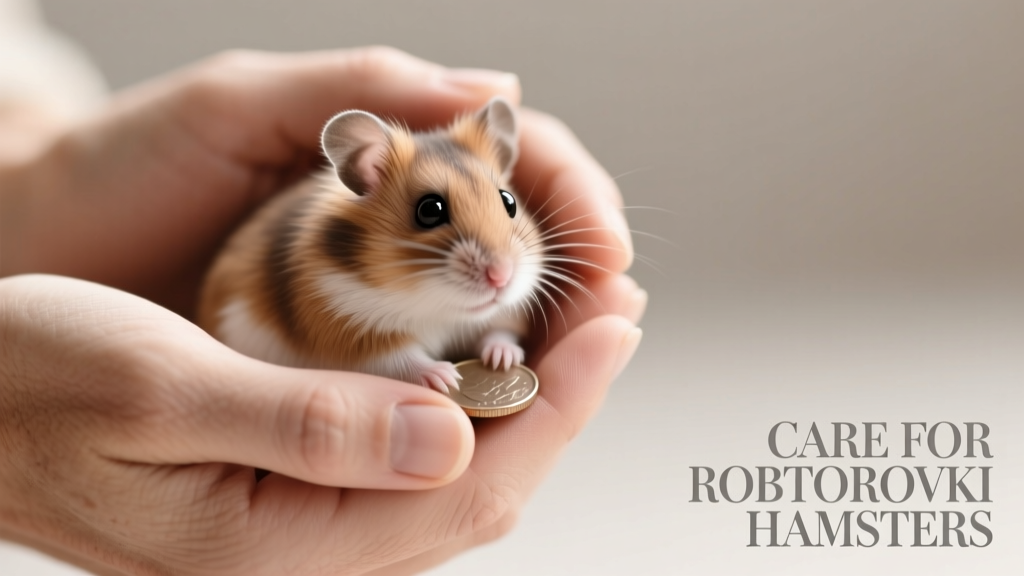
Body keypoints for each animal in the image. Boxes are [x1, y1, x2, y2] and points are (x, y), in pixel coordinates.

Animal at [197, 97, 544, 392]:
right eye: (430, 211)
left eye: (509, 201)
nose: (501, 276)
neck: (435, 308)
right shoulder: (344, 328)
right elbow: (397, 359)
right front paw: (447, 378)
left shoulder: (497, 315)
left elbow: (498, 331)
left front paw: (503, 360)